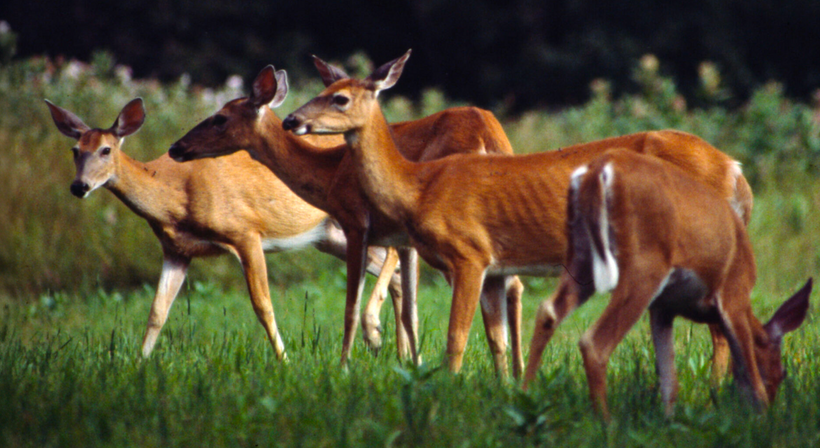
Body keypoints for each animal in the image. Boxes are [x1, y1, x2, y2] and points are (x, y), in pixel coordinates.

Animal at [45, 98, 406, 360]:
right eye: (75, 150)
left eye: (106, 149)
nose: (79, 186)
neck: (173, 196)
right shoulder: (176, 250)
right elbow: (157, 311)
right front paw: (139, 363)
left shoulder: (245, 232)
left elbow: (263, 305)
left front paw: (285, 360)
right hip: (331, 237)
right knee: (398, 270)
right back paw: (398, 350)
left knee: (395, 252)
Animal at [168, 63, 526, 374]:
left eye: (220, 118)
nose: (176, 147)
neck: (330, 171)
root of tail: (487, 137)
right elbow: (410, 310)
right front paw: (413, 364)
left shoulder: (362, 223)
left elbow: (356, 305)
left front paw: (358, 356)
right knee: (512, 285)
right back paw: (516, 370)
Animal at [281, 49, 754, 379]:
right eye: (319, 91)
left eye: (339, 98)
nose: (291, 120)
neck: (418, 185)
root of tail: (735, 171)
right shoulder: (489, 266)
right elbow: (494, 337)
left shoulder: (468, 256)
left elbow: (456, 336)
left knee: (720, 328)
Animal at [524, 149, 811, 419]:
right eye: (783, 371)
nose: (775, 399)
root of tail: (599, 169)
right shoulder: (733, 295)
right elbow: (750, 380)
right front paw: (763, 417)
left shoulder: (662, 307)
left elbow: (670, 381)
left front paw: (669, 421)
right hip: (644, 264)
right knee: (595, 342)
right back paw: (606, 423)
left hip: (581, 255)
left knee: (548, 310)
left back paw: (526, 394)